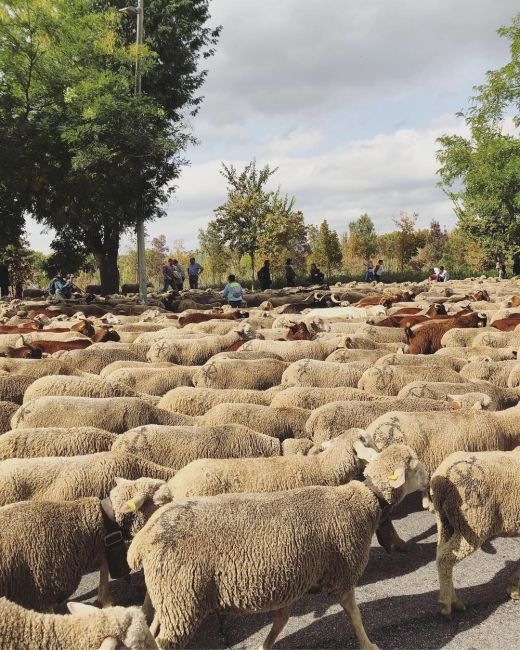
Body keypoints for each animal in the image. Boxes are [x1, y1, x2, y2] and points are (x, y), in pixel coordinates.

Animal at [128, 443, 428, 650]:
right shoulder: (342, 575)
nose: (430, 479)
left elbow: (281, 620)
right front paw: (368, 644)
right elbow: (355, 615)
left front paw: (264, 645)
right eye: (415, 468)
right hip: (182, 602)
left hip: (166, 596)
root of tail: (143, 539)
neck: (364, 501)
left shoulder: (293, 578)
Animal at [429, 448, 520, 616]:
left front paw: (514, 588)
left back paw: (452, 598)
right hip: (474, 525)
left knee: (440, 553)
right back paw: (447, 604)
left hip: (445, 522)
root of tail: (441, 479)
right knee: (445, 558)